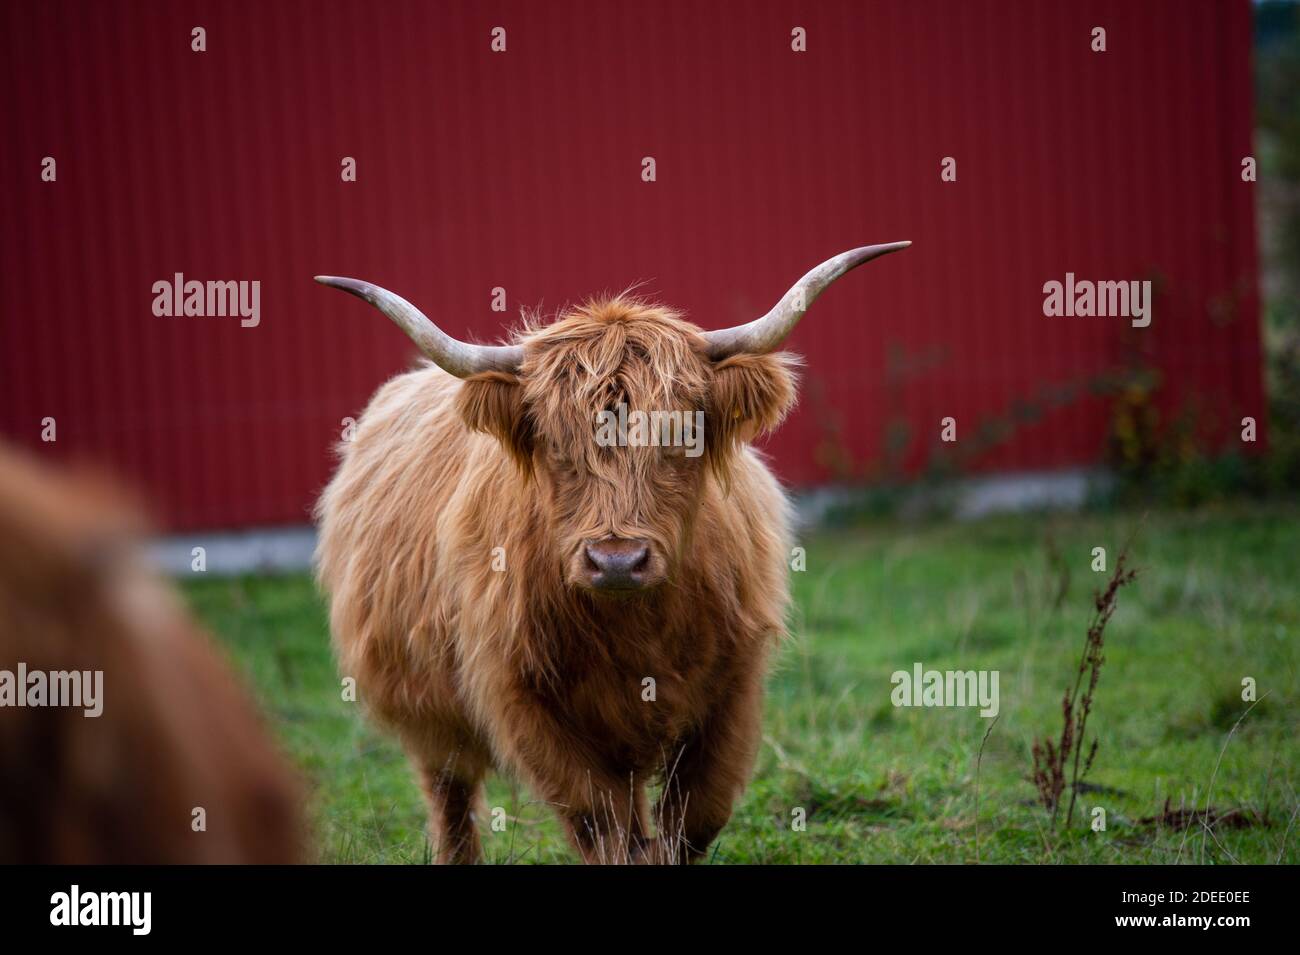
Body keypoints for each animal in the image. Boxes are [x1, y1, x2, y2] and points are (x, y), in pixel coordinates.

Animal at [313, 243, 908, 863]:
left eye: (683, 435)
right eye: (554, 444)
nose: (617, 561)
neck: (637, 628)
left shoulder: (734, 688)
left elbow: (695, 816)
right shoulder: (521, 695)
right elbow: (599, 821)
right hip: (423, 706)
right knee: (449, 794)